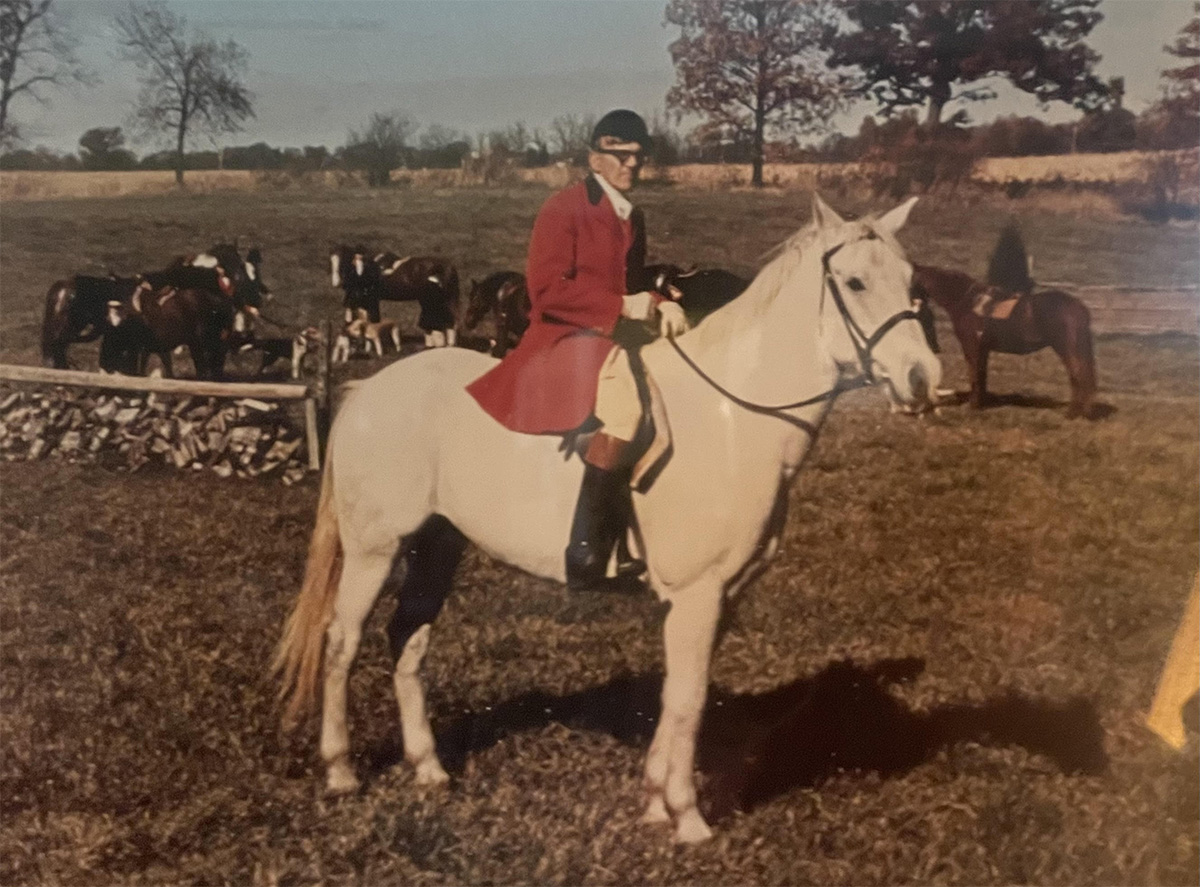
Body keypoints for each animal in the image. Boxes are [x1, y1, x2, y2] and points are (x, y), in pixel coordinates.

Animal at [275, 195, 939, 844]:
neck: (731, 417)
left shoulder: (720, 598)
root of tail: (369, 390)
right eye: (854, 282)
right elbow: (690, 700)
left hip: (438, 546)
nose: (924, 380)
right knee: (343, 641)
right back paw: (341, 770)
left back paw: (428, 767)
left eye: (912, 281)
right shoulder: (697, 596)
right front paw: (687, 818)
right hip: (374, 549)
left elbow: (678, 695)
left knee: (407, 640)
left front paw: (654, 803)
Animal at [910, 263, 1098, 418]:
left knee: (1078, 374)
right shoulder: (983, 349)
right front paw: (981, 403)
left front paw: (974, 405)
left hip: (1066, 349)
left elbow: (974, 373)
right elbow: (981, 374)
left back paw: (1073, 413)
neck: (966, 301)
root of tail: (1078, 307)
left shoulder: (972, 347)